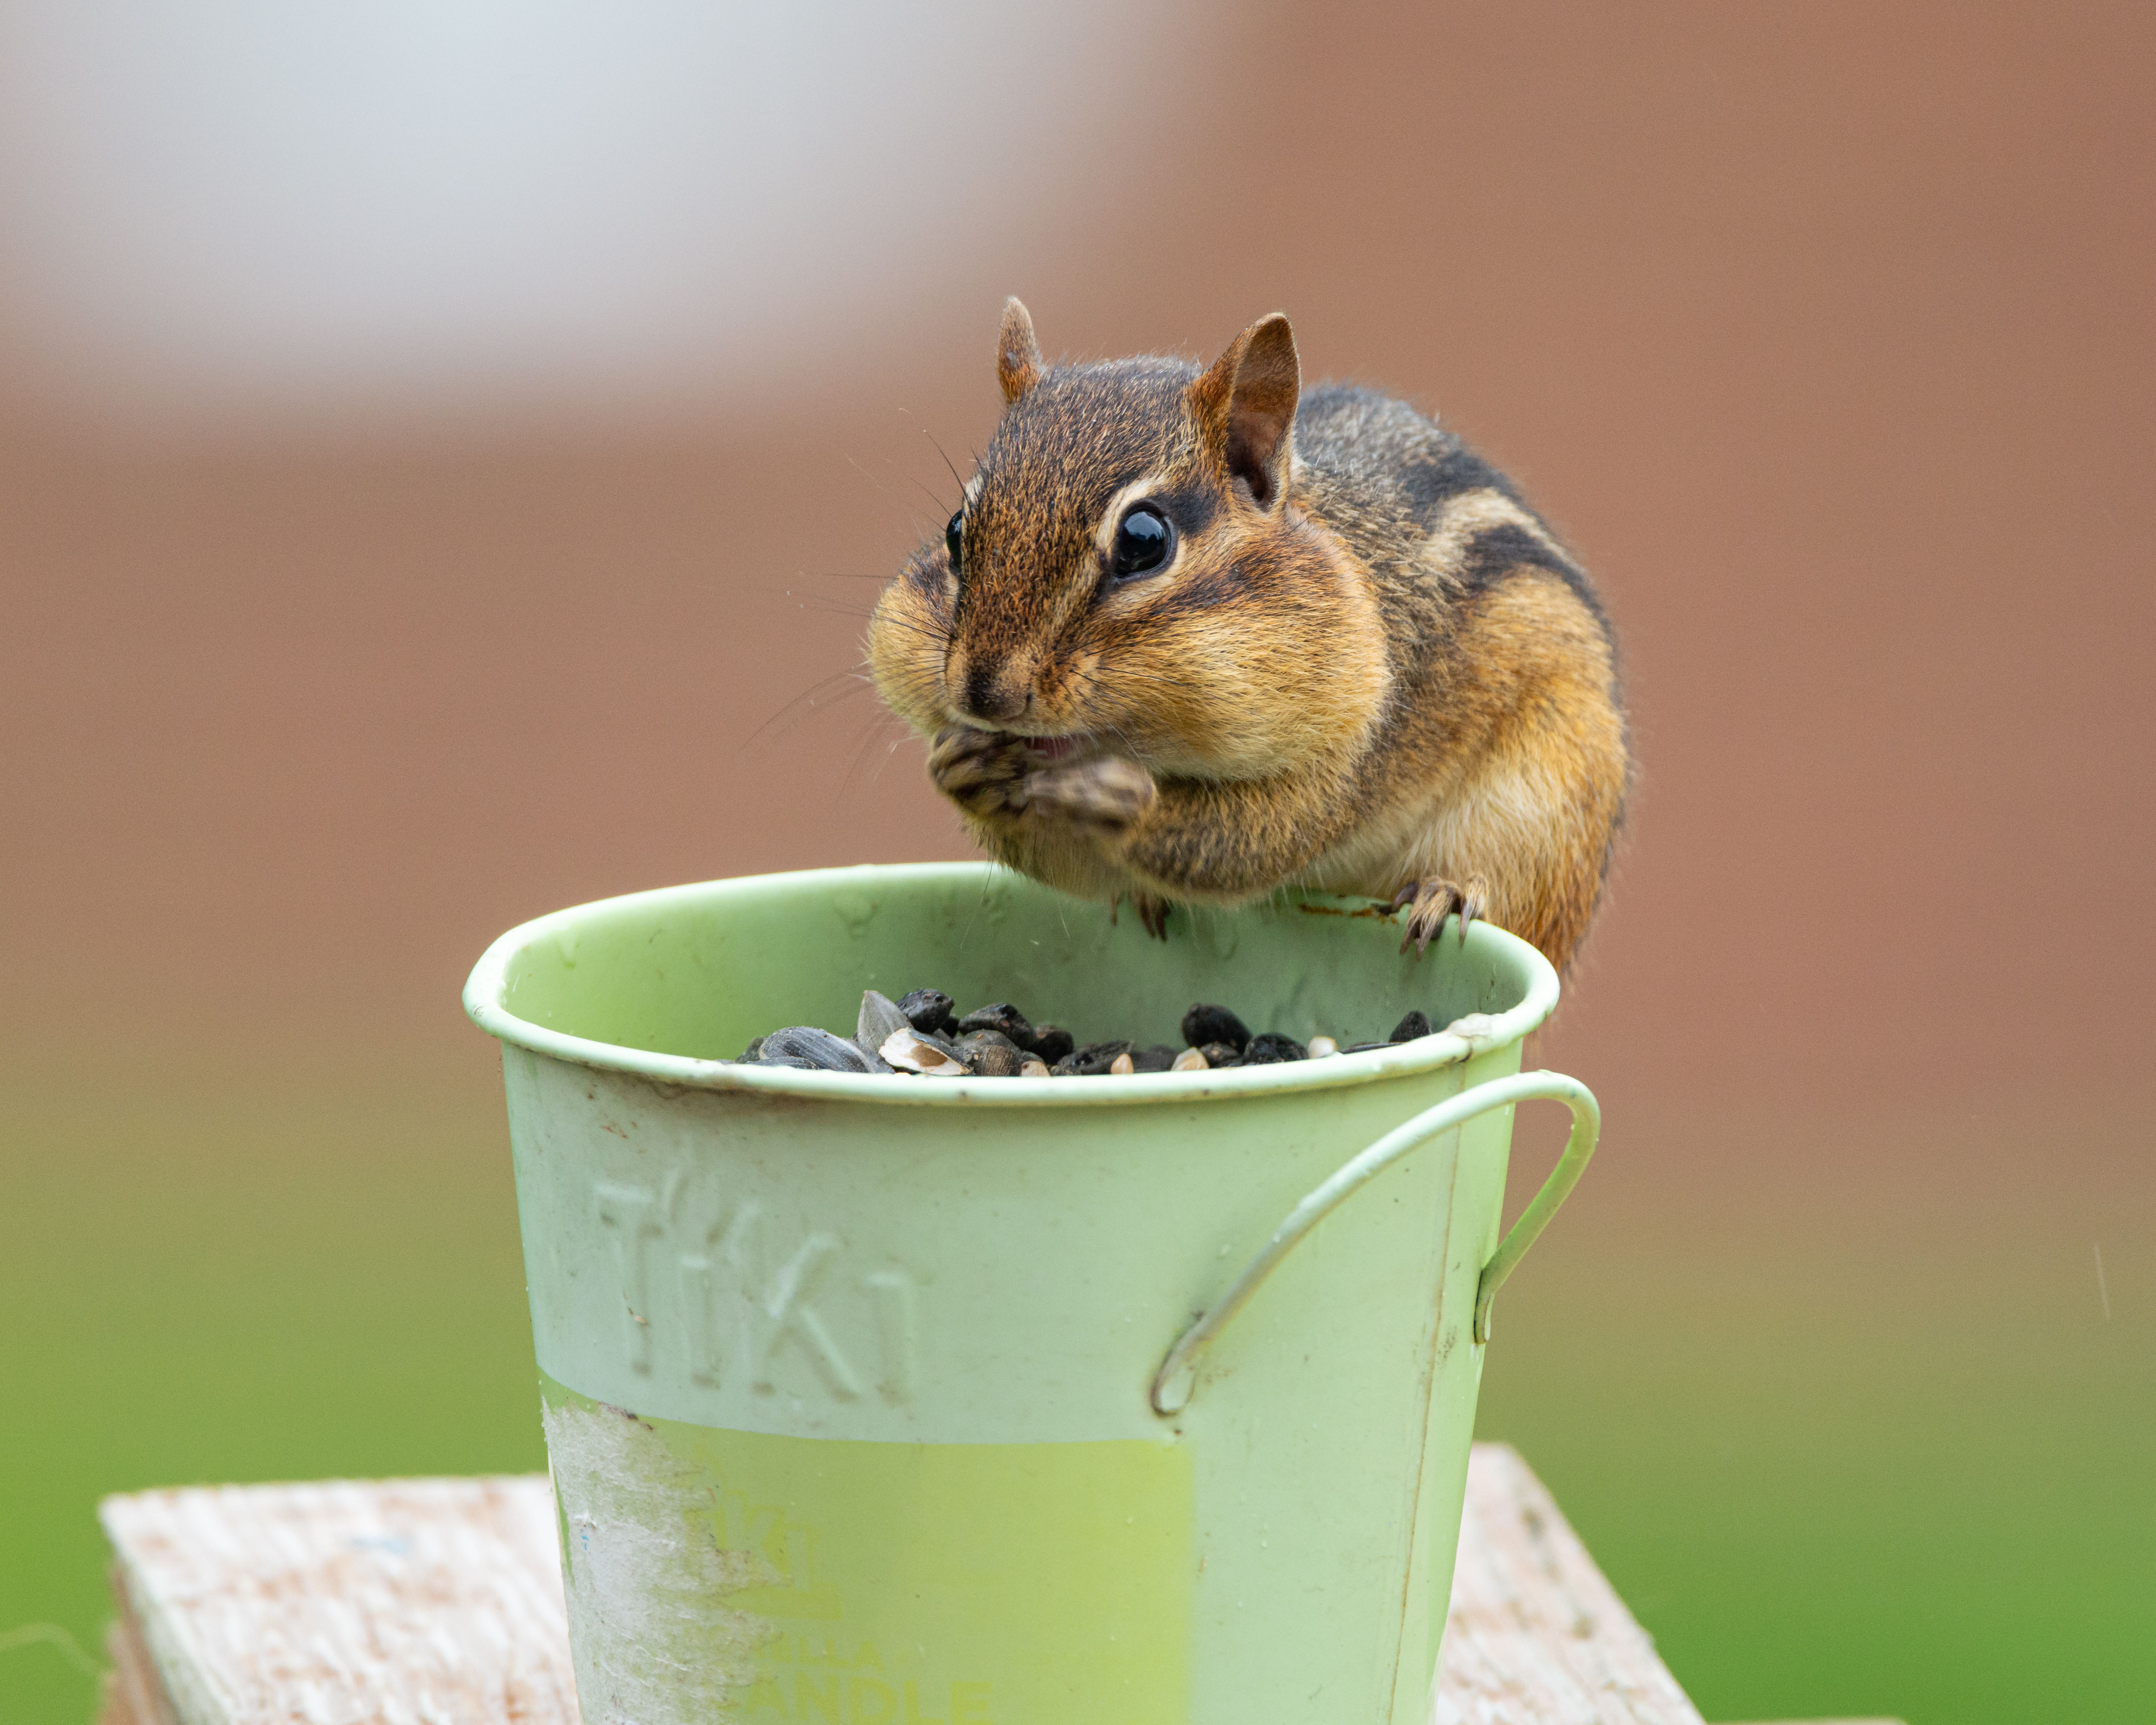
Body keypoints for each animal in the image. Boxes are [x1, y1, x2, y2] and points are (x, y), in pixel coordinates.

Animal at [867, 300, 1630, 973]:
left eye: (1143, 541)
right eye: (956, 532)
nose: (984, 694)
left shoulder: (1352, 749)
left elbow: (1255, 838)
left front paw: (1118, 796)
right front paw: (956, 764)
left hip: (1549, 798)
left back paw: (1446, 892)